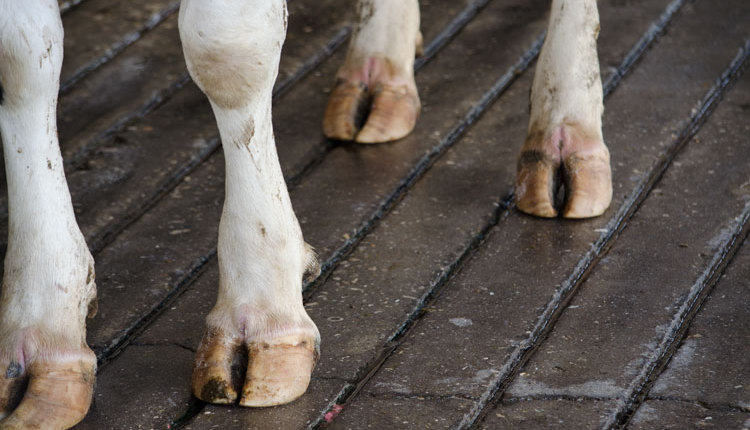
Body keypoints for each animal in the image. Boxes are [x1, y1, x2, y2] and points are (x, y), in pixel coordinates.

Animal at [0, 0, 610, 428]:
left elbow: (225, 44)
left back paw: (565, 134)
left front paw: (260, 303)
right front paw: (40, 326)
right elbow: (20, 60)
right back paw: (378, 74)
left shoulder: (229, 39)